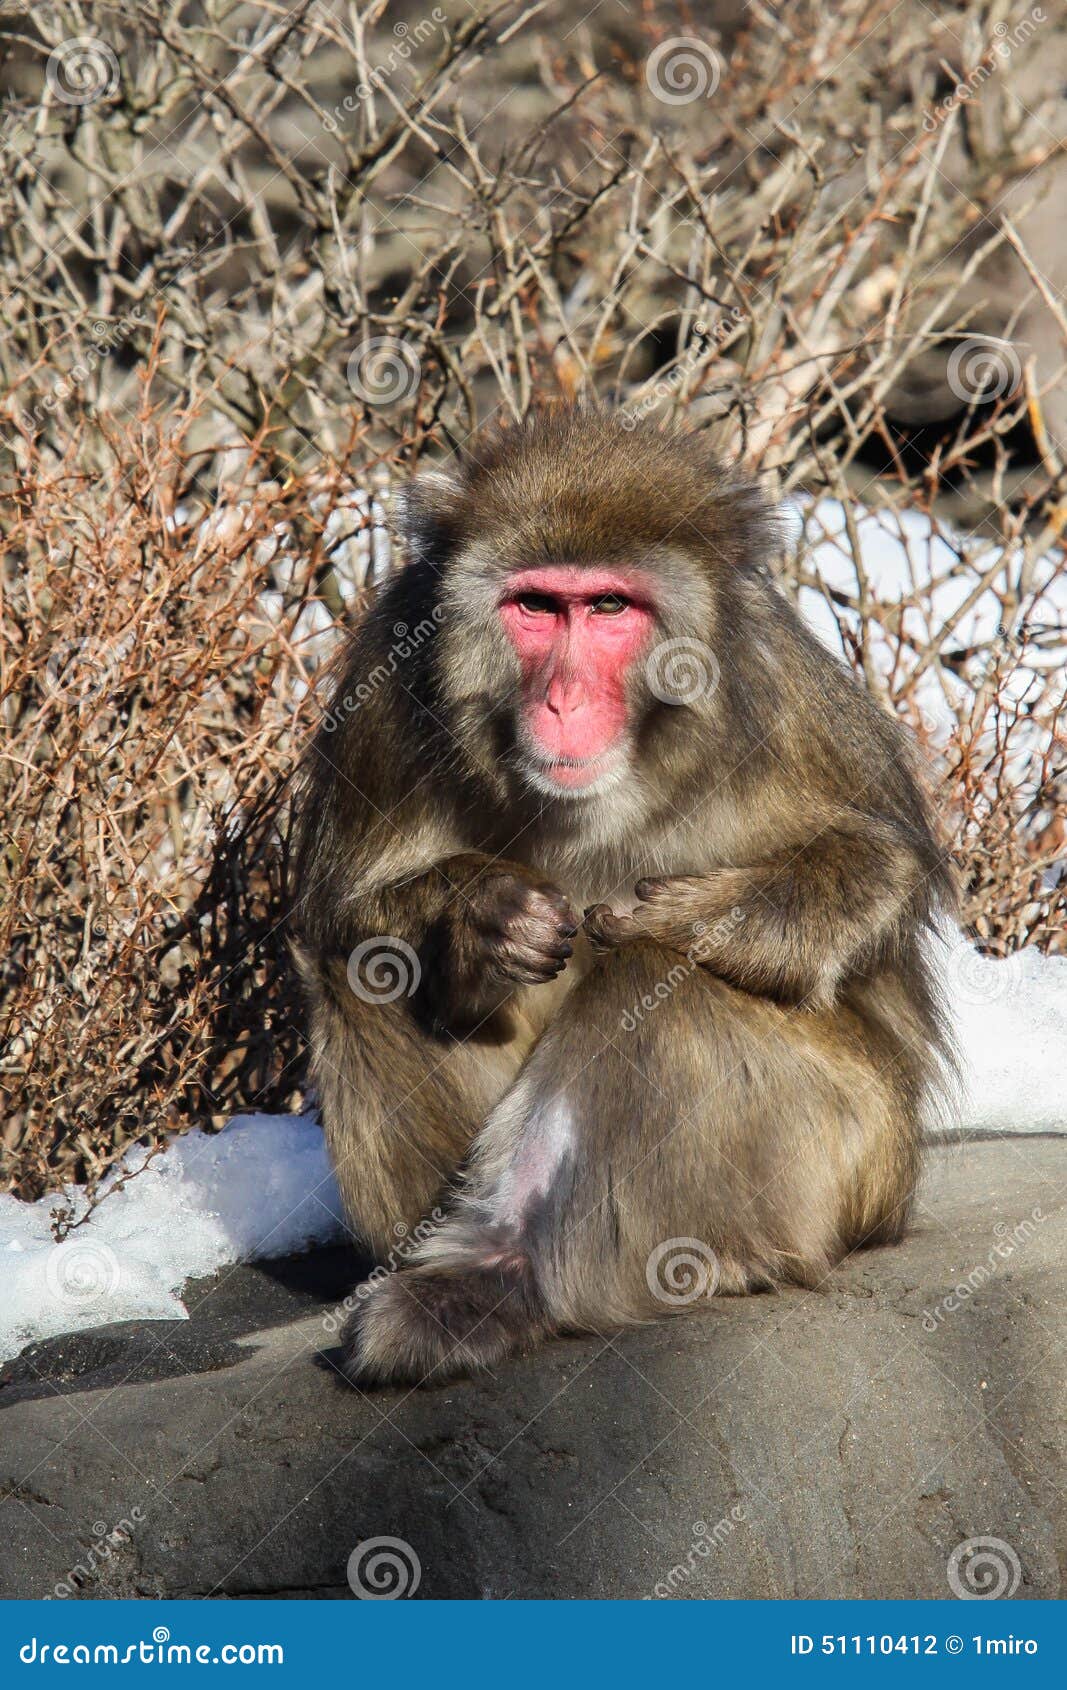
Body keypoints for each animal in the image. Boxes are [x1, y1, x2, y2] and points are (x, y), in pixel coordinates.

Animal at [292, 407, 954, 1388]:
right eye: (536, 606)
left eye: (609, 609)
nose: (562, 701)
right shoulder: (388, 677)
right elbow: (339, 907)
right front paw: (478, 915)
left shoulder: (776, 690)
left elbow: (877, 864)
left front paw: (697, 916)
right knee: (359, 965)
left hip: (856, 1166)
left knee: (659, 984)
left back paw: (508, 1274)